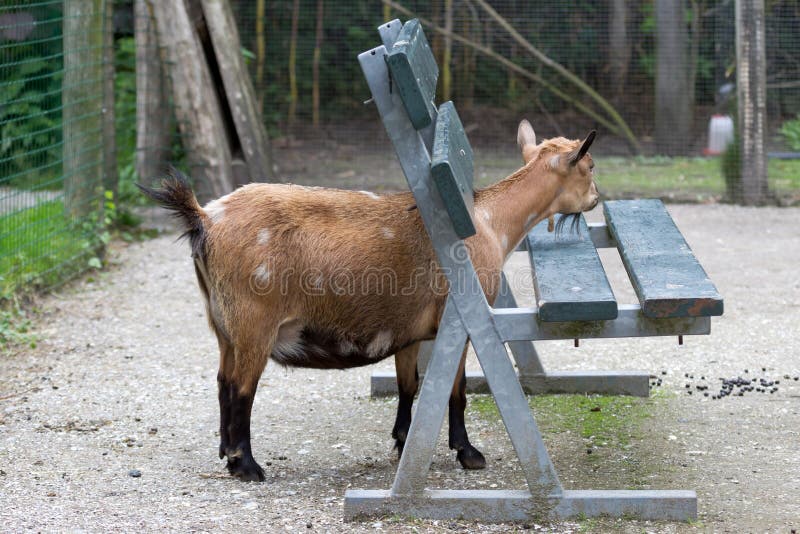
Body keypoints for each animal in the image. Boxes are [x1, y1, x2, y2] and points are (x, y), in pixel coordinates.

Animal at [138, 120, 599, 482]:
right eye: (590, 166)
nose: (596, 198)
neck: (488, 222)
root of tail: (204, 218)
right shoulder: (460, 323)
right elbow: (457, 388)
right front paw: (468, 453)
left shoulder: (411, 330)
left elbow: (410, 385)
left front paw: (403, 440)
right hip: (255, 322)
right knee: (241, 388)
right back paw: (246, 466)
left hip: (223, 324)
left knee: (221, 381)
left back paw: (225, 453)